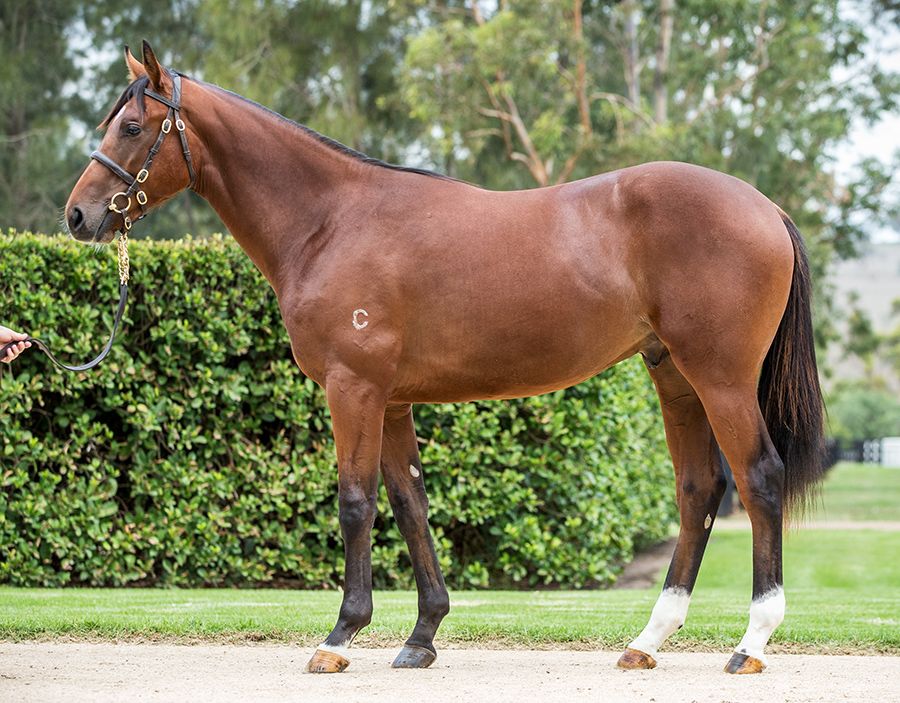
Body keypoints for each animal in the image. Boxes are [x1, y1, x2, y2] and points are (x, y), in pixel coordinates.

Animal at [65, 41, 825, 675]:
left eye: (130, 127)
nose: (77, 215)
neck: (331, 221)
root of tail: (766, 208)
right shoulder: (392, 399)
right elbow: (410, 504)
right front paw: (421, 636)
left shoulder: (353, 389)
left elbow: (356, 502)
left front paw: (340, 635)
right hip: (672, 374)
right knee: (699, 488)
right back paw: (647, 640)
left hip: (721, 378)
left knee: (758, 479)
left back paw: (751, 642)